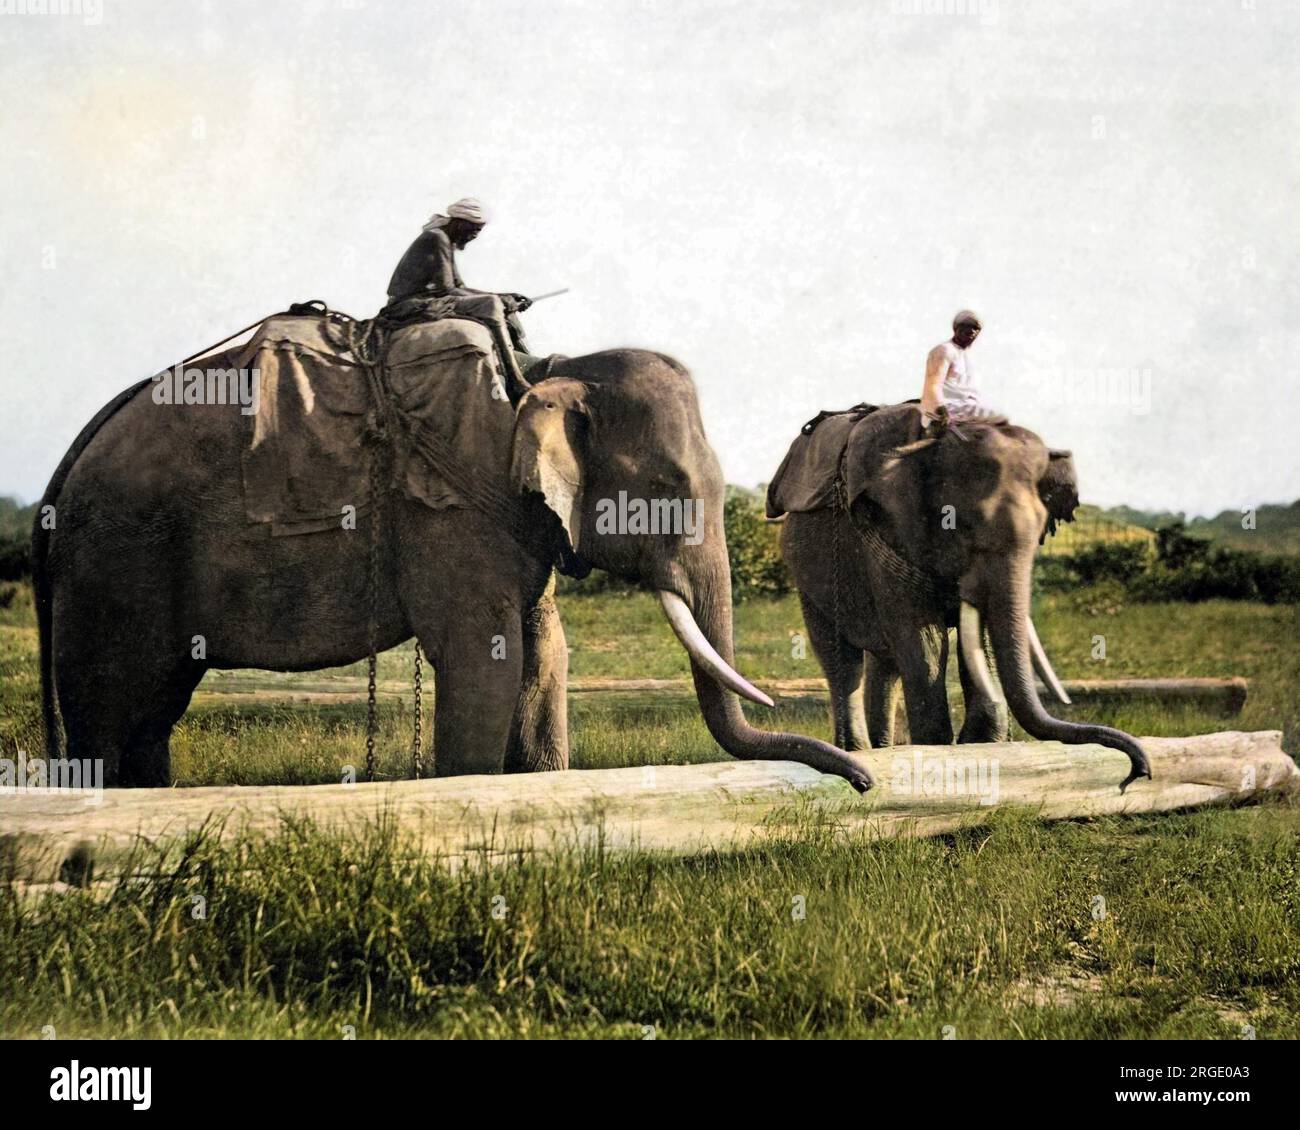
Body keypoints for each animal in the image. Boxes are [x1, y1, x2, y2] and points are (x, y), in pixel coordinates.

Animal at [32, 345, 874, 791]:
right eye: (668, 489)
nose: (862, 778)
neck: (549, 369)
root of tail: (67, 464)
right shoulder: (455, 506)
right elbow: (484, 661)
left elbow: (542, 655)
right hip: (117, 558)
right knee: (110, 710)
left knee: (152, 712)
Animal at [777, 403, 1149, 786]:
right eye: (962, 526)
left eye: (1040, 529)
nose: (1139, 771)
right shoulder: (885, 537)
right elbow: (925, 642)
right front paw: (938, 746)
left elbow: (976, 641)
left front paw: (983, 742)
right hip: (805, 571)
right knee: (841, 659)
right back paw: (859, 750)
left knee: (885, 662)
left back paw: (881, 749)